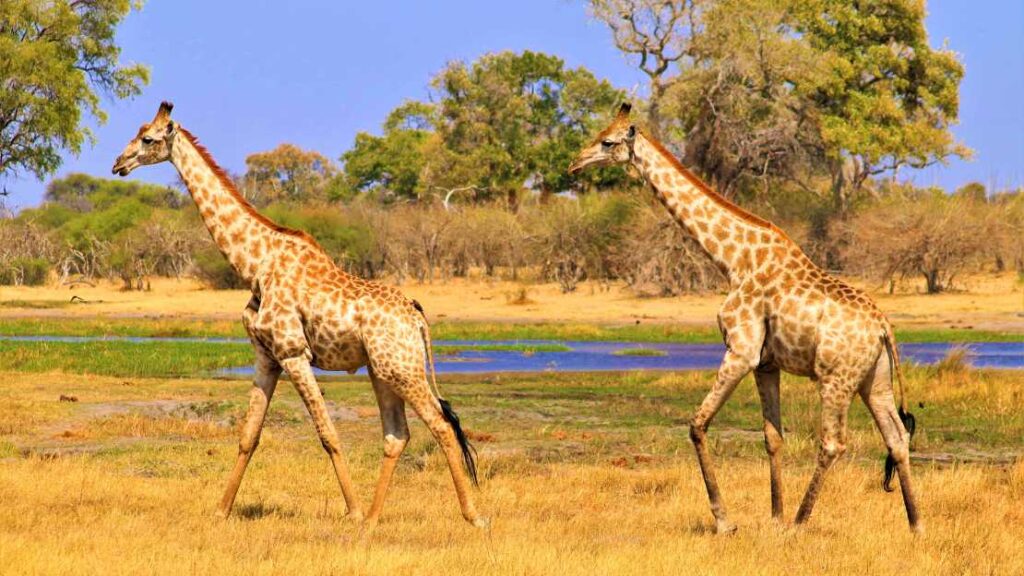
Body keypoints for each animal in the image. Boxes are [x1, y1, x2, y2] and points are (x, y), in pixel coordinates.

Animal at [112, 102, 487, 530]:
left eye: (148, 139)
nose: (118, 163)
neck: (255, 264)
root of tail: (418, 318)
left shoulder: (294, 354)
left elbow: (328, 434)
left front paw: (352, 510)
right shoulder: (266, 357)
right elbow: (248, 435)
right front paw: (221, 510)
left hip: (403, 369)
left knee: (441, 425)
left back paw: (471, 516)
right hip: (383, 370)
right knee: (398, 434)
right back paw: (375, 519)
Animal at [569, 103, 920, 534]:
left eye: (607, 142)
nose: (573, 163)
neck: (733, 260)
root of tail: (884, 328)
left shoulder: (741, 351)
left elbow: (697, 424)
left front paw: (726, 521)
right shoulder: (766, 363)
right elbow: (773, 437)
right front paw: (773, 516)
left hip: (836, 378)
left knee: (834, 442)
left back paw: (800, 524)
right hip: (875, 379)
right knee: (897, 437)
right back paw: (916, 525)